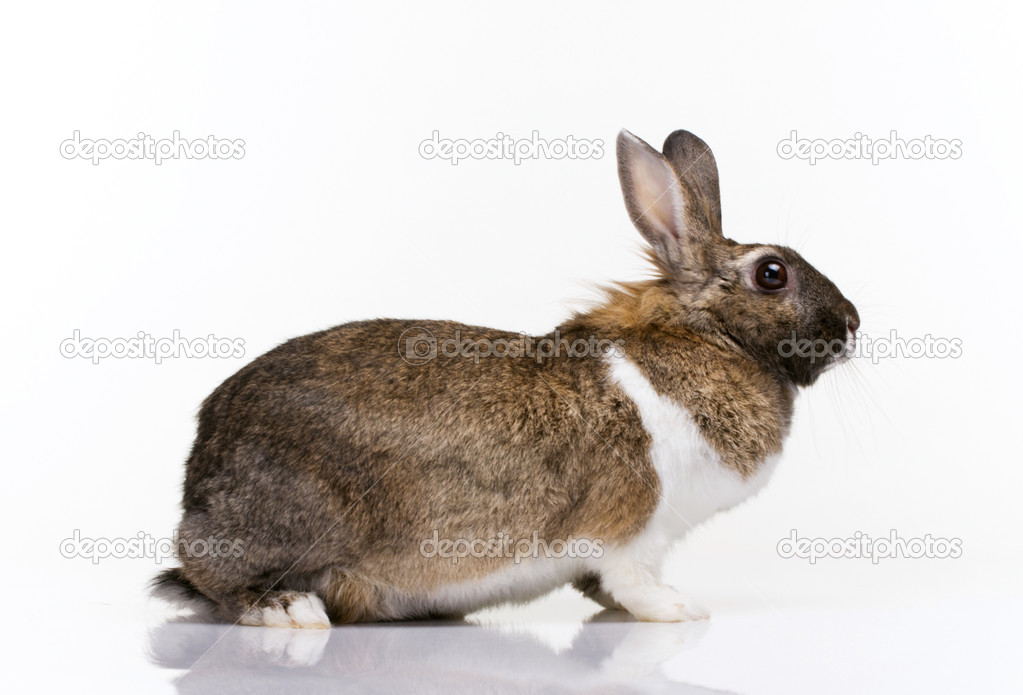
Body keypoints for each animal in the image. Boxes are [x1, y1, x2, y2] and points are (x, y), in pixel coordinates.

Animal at [153, 128, 859, 628]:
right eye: (772, 273)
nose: (853, 325)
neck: (707, 337)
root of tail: (200, 474)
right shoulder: (632, 527)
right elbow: (633, 580)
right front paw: (681, 609)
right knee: (214, 573)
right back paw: (289, 611)